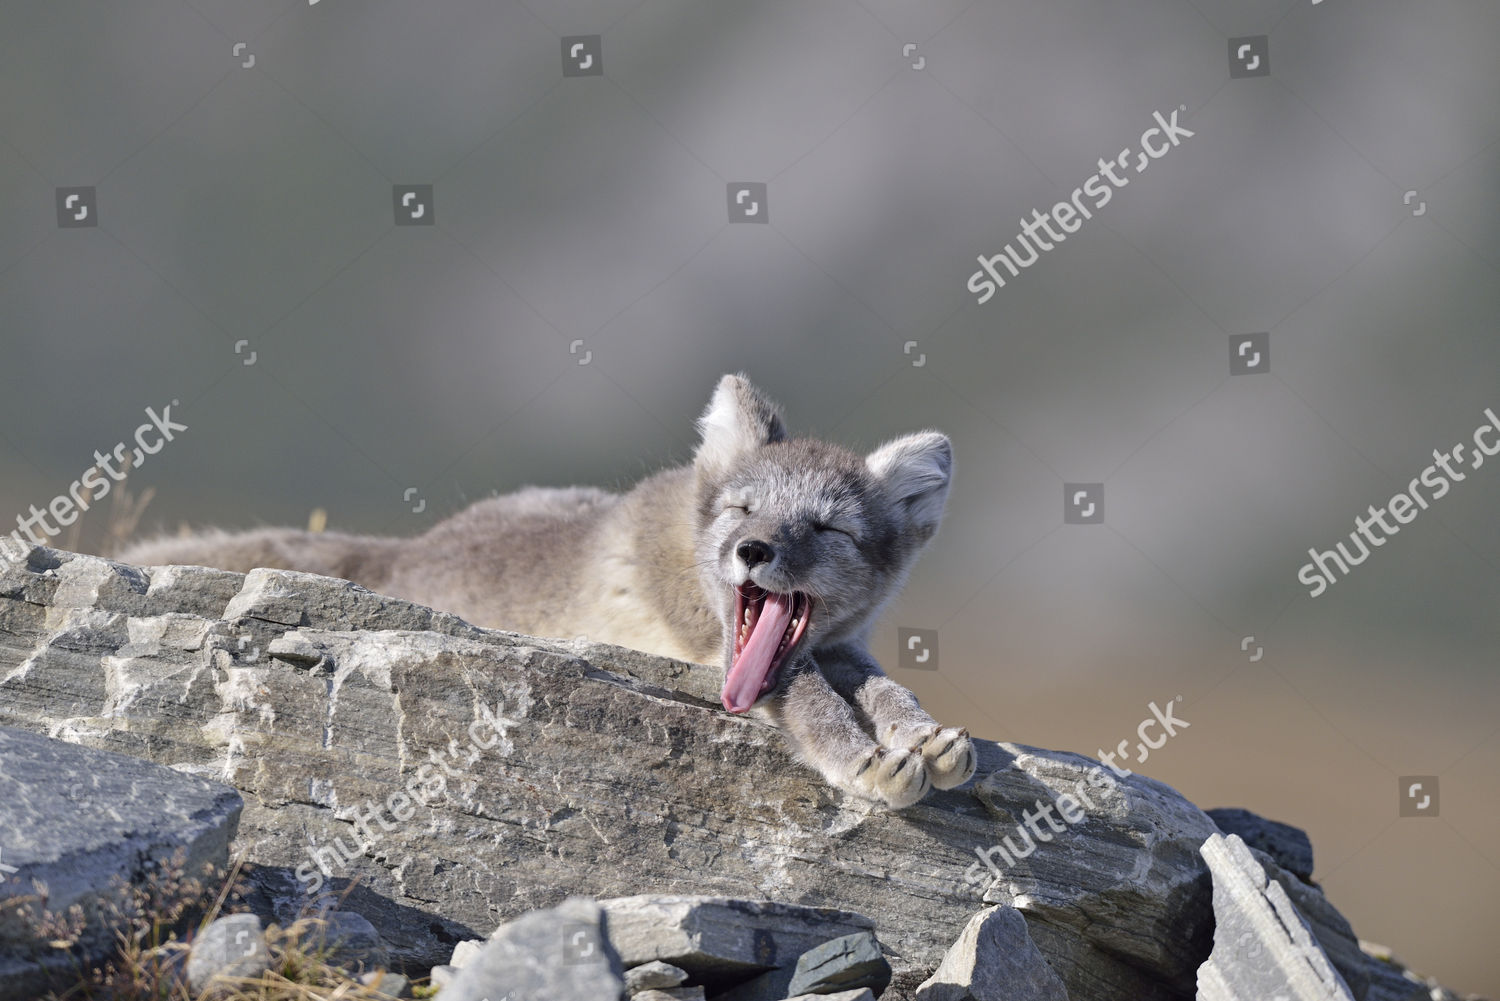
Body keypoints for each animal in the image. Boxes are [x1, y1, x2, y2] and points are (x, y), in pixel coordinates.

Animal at [119, 374, 976, 808]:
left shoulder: (840, 642)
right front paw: (864, 757)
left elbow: (881, 682)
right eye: (741, 509)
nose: (752, 549)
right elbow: (804, 690)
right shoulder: (714, 647)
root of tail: (405, 551)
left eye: (828, 528)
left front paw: (924, 734)